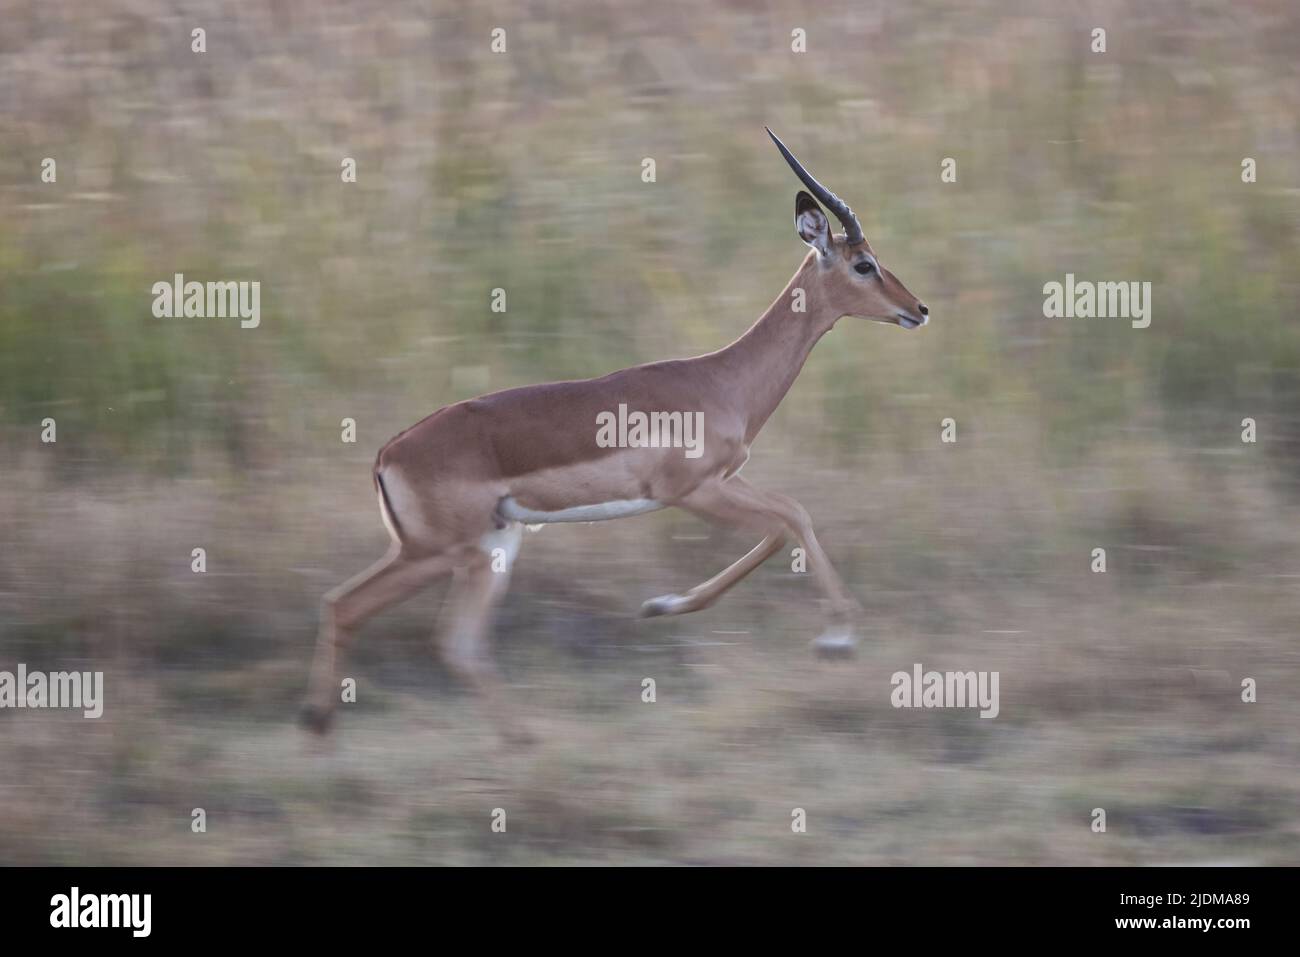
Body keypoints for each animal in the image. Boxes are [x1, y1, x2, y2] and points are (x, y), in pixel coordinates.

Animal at [302, 129, 929, 742]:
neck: (721, 379)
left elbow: (792, 515)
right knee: (354, 609)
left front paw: (661, 605)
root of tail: (388, 453)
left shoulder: (726, 480)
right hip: (441, 551)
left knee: (439, 637)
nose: (918, 309)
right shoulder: (693, 492)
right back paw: (329, 722)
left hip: (491, 547)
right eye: (863, 263)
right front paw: (834, 640)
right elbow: (785, 523)